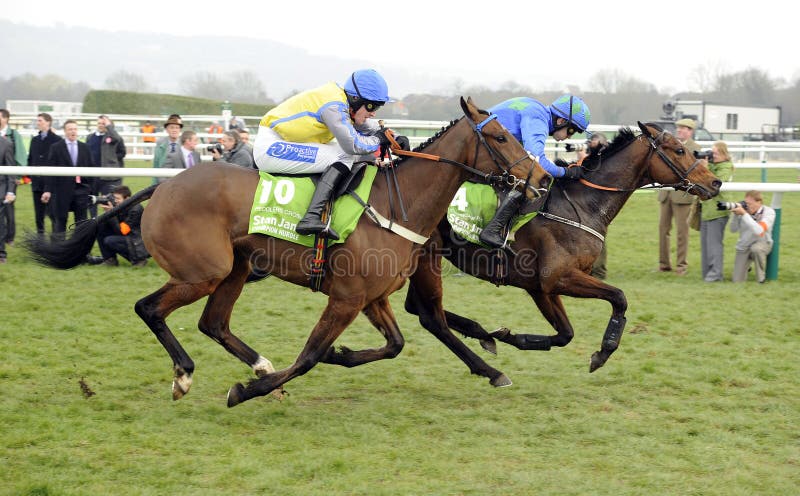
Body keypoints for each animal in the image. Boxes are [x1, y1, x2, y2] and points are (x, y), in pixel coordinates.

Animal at [25, 97, 548, 407]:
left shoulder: (372, 297)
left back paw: (255, 362)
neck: (394, 204)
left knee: (212, 323)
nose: (542, 178)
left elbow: (395, 344)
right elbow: (311, 355)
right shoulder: (345, 298)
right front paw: (249, 390)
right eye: (501, 136)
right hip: (203, 270)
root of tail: (164, 185)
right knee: (149, 308)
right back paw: (186, 374)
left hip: (235, 268)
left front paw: (338, 354)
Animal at [404, 122, 722, 380]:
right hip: (426, 260)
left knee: (416, 309)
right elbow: (619, 298)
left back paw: (481, 333)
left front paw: (509, 336)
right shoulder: (556, 277)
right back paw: (488, 364)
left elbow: (565, 334)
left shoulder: (541, 287)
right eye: (679, 150)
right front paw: (603, 352)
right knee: (429, 317)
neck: (583, 205)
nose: (715, 182)